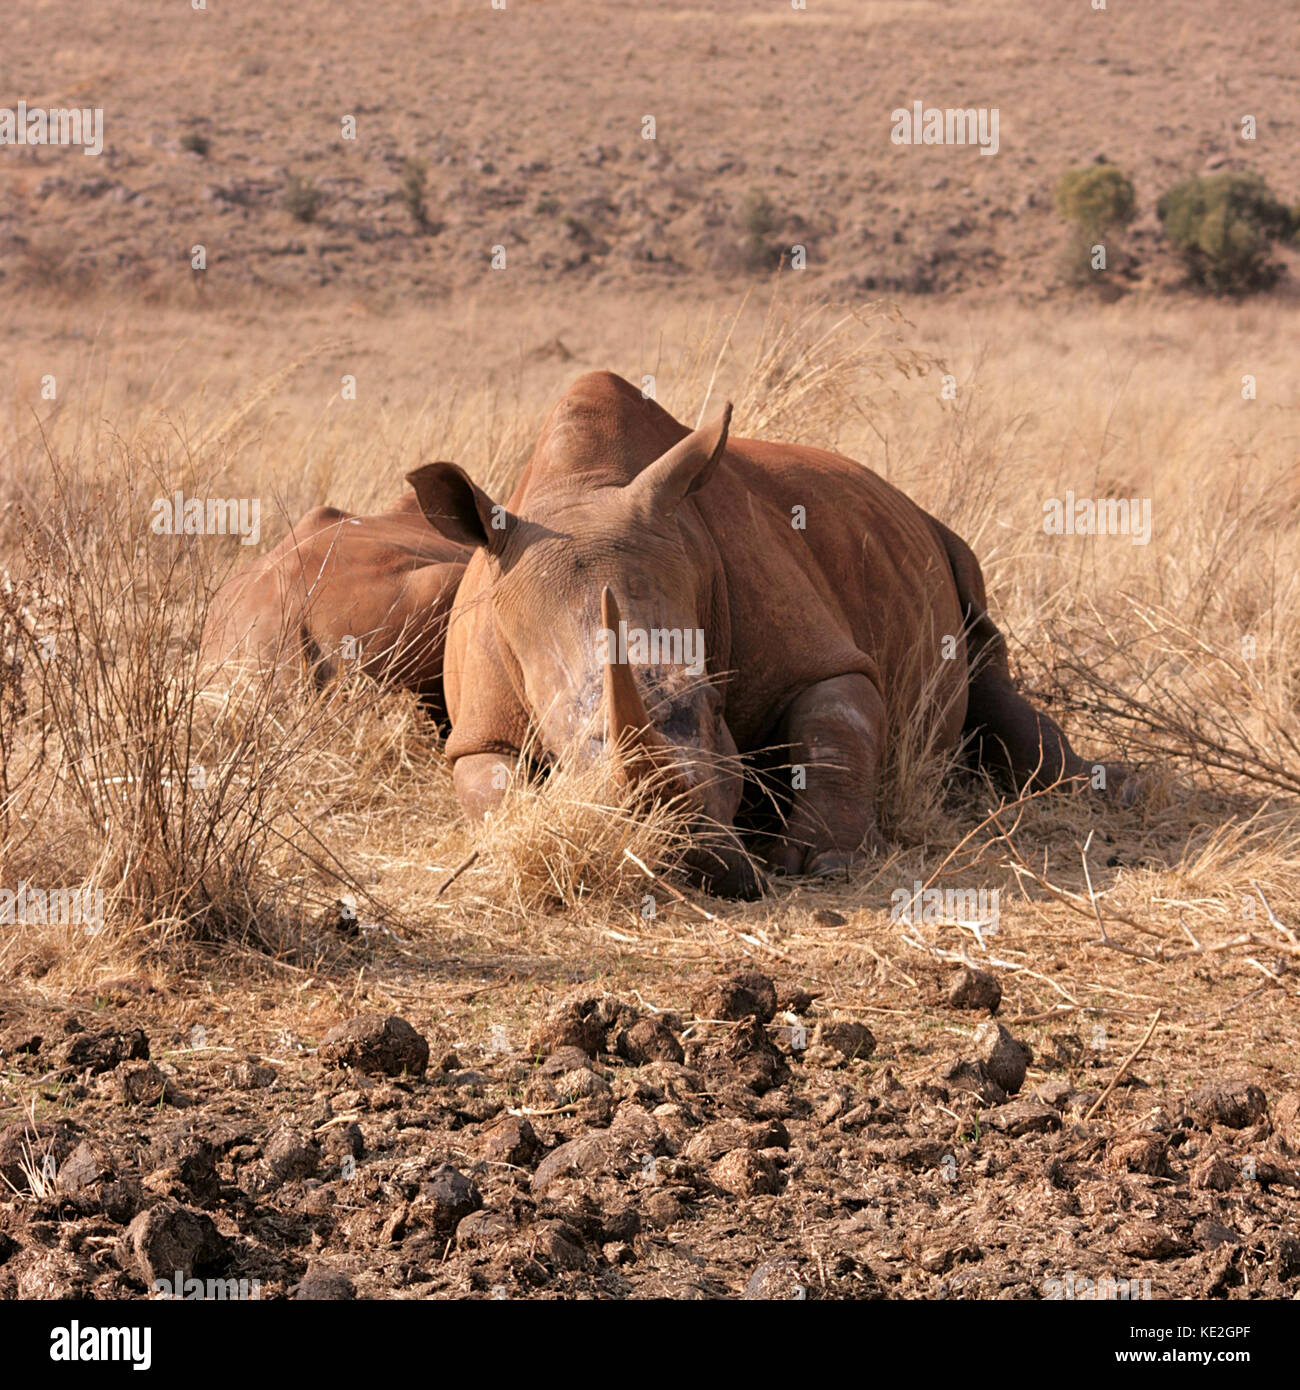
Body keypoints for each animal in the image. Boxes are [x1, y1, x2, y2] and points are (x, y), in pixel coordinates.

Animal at [410, 371, 1121, 896]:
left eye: (712, 707)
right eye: (567, 744)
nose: (686, 857)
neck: (584, 489)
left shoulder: (817, 654)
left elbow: (835, 720)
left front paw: (821, 862)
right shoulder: (479, 725)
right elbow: (494, 787)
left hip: (944, 541)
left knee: (989, 679)